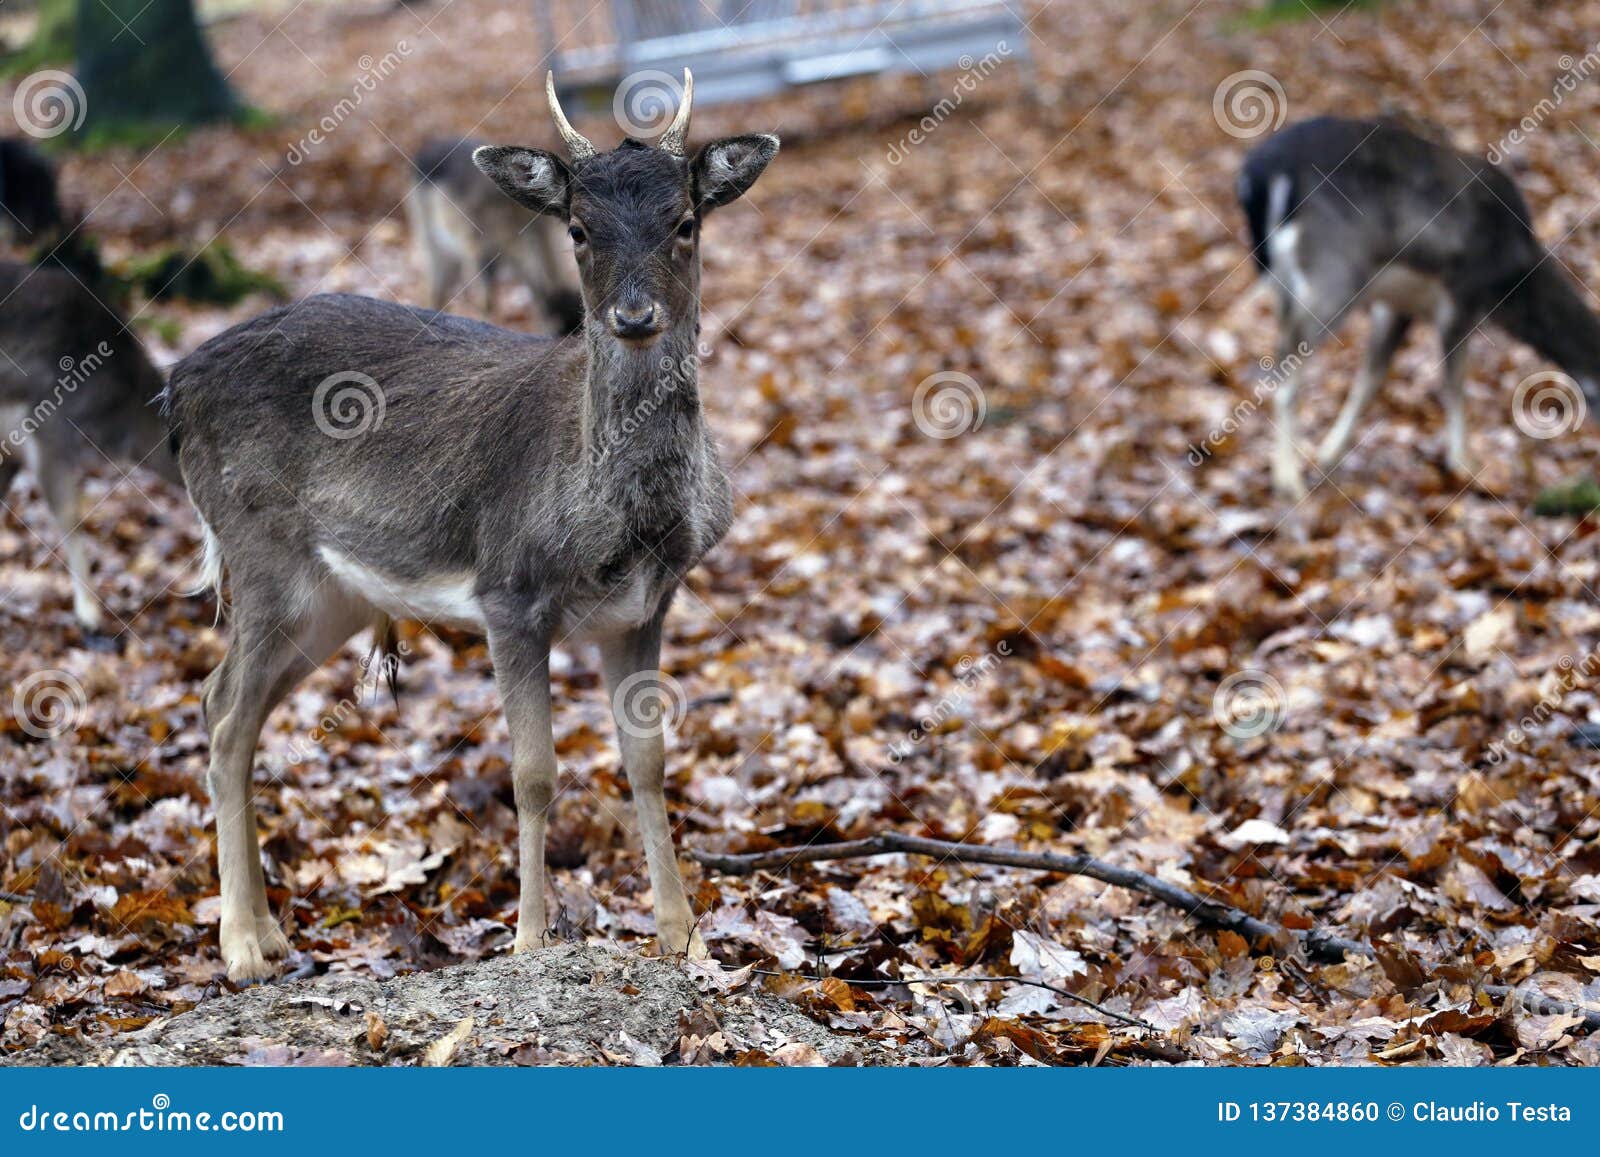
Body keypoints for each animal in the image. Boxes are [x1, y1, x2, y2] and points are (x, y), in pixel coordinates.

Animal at [1238, 115, 1600, 500]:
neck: (1509, 281)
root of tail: (1262, 171)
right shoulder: (1461, 294)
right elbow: (1454, 384)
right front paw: (1465, 465)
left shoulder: (1397, 305)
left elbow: (1371, 378)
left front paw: (1328, 453)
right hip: (1334, 271)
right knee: (1287, 369)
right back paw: (1287, 481)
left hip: (1284, 282)